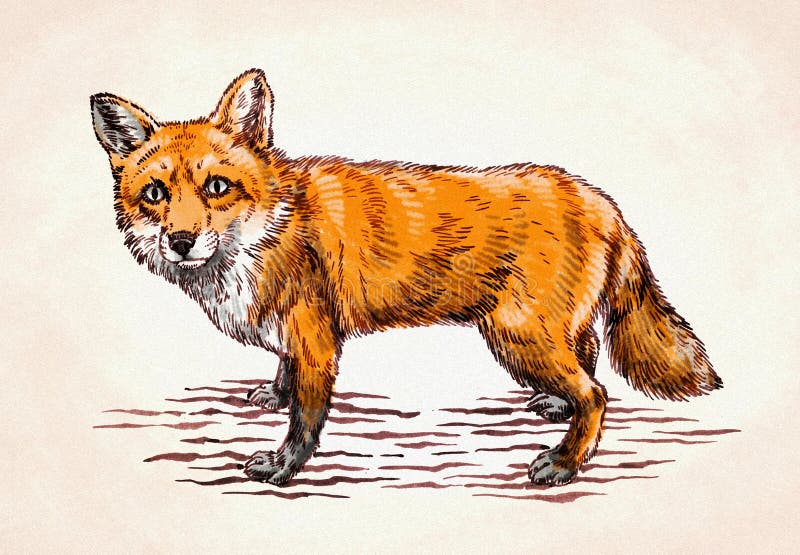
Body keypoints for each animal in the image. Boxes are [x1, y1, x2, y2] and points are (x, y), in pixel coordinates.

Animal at [90, 69, 721, 487]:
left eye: (217, 187)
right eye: (155, 194)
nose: (181, 242)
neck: (268, 231)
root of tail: (598, 199)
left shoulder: (317, 339)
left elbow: (307, 418)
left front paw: (285, 466)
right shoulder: (292, 333)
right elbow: (285, 375)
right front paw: (273, 393)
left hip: (516, 334)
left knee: (597, 392)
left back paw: (565, 462)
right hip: (546, 329)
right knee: (587, 358)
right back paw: (555, 407)